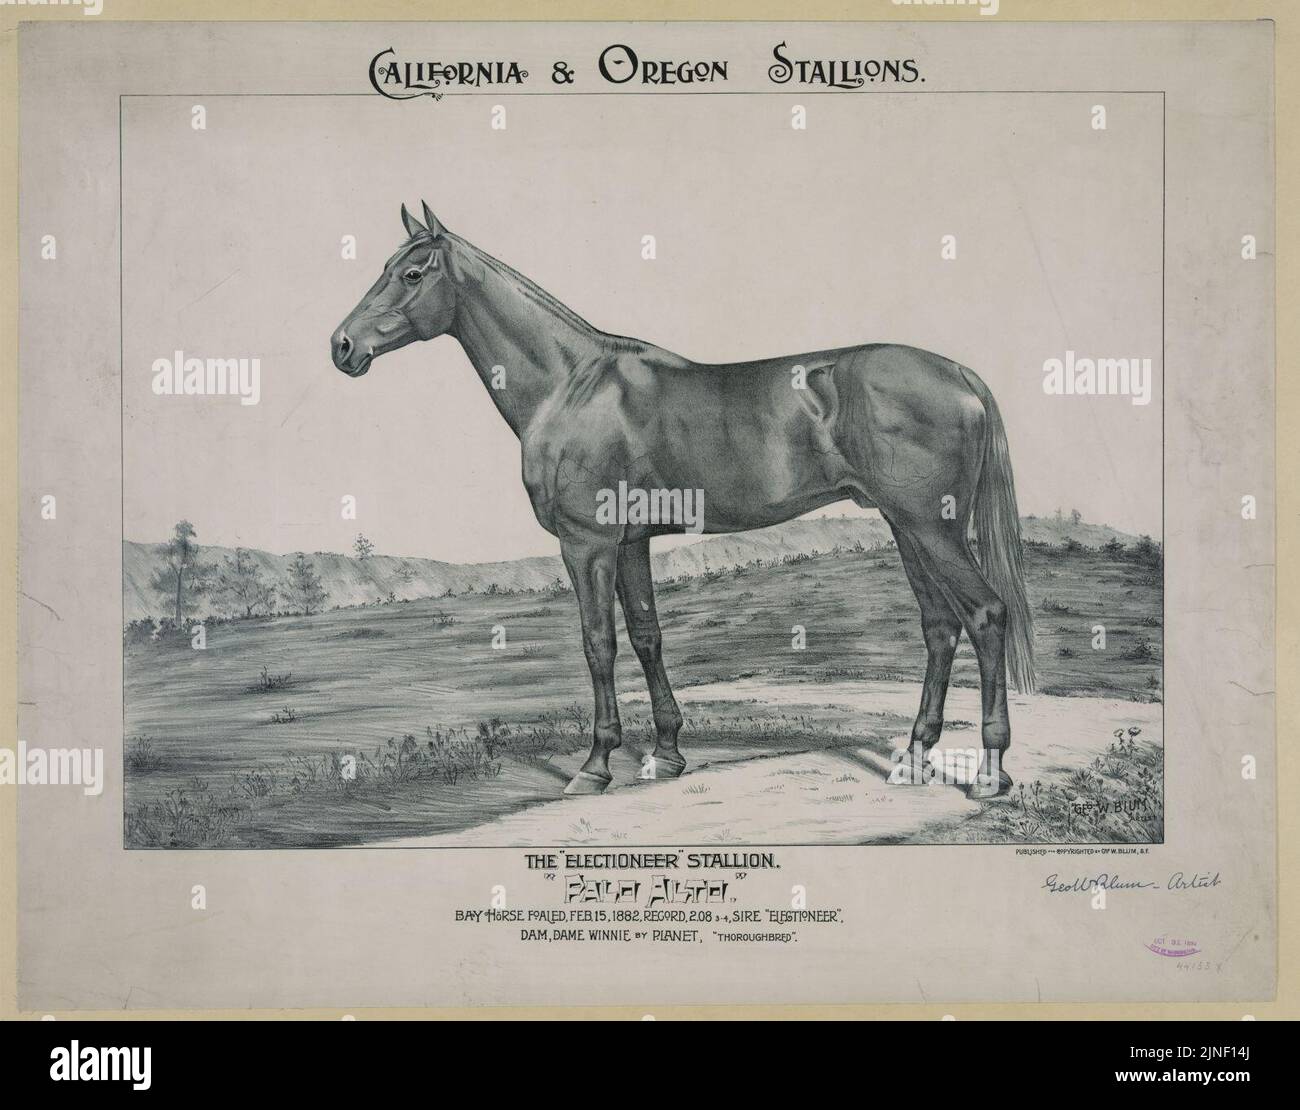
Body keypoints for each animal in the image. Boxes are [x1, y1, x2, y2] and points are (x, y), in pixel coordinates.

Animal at [331, 202, 1036, 801]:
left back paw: (990, 774)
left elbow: (598, 644)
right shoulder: (631, 542)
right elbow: (647, 636)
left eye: (411, 273)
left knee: (985, 615)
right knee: (940, 628)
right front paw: (667, 753)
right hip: (906, 528)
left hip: (931, 528)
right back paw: (913, 760)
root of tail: (961, 376)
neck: (571, 384)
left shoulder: (586, 543)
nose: (342, 346)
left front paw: (595, 766)